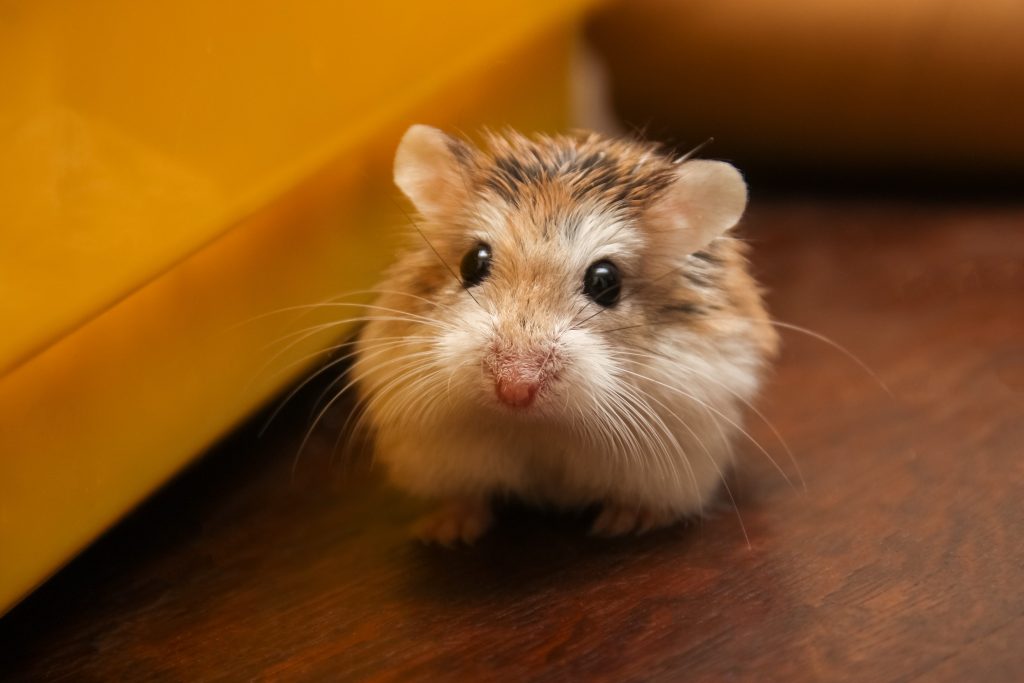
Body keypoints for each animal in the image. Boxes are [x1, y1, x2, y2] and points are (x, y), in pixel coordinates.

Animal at [351, 125, 779, 545]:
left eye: (605, 281)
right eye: (473, 262)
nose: (514, 390)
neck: (537, 426)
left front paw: (622, 525)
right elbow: (466, 497)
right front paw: (442, 533)